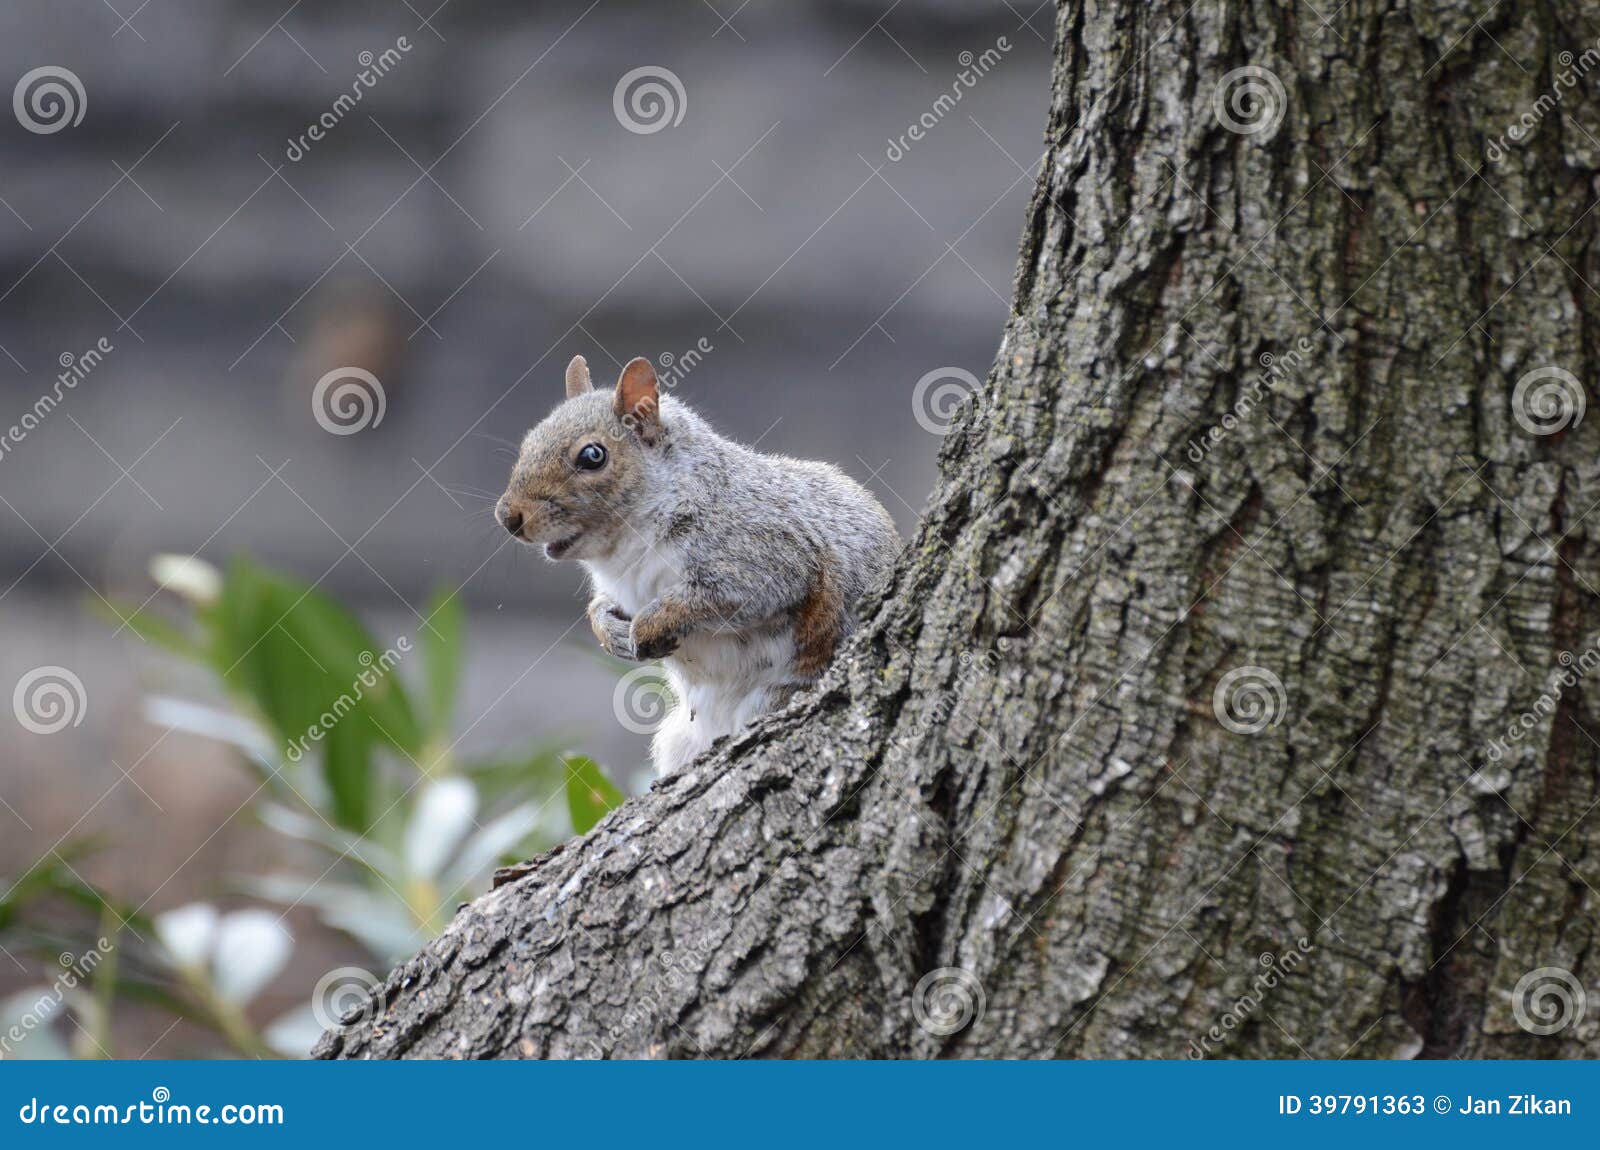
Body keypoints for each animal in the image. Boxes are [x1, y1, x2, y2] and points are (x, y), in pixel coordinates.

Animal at [496, 354, 900, 776]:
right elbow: (602, 605)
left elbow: (720, 597)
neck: (624, 547)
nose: (508, 517)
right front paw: (610, 631)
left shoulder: (763, 554)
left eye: (593, 456)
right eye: (529, 442)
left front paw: (647, 626)